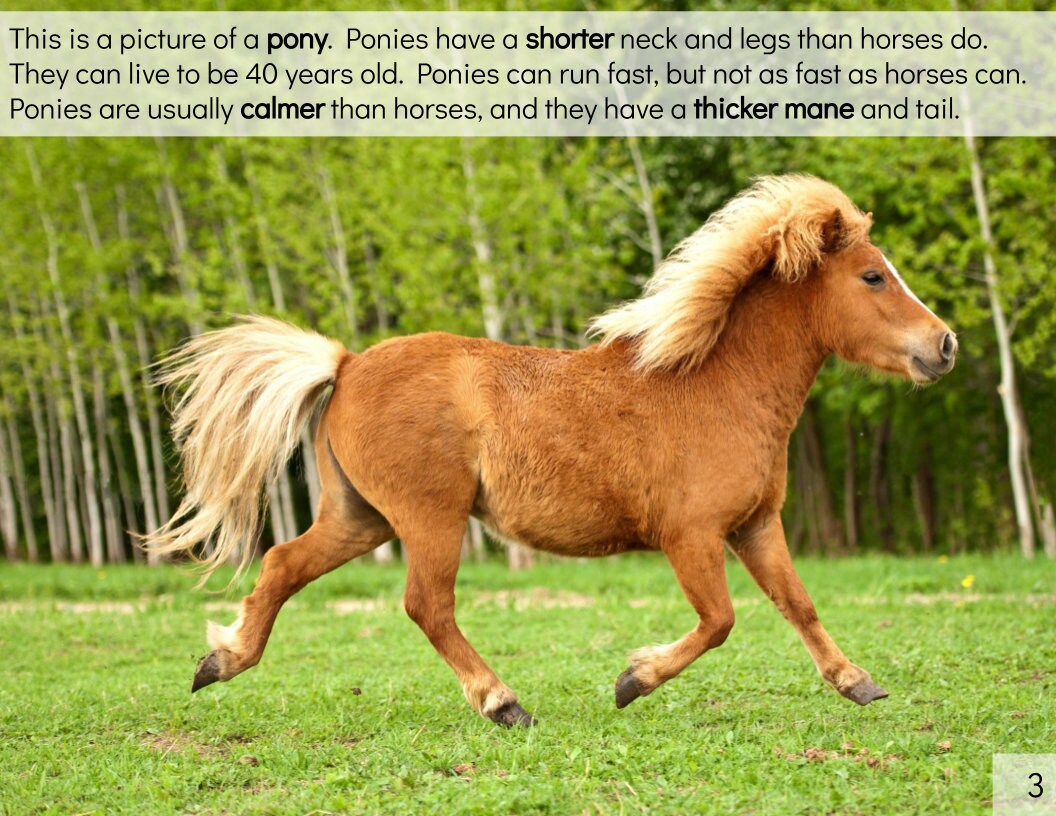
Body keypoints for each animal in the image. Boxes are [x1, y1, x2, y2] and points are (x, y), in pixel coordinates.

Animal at [144, 174, 957, 727]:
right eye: (872, 276)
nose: (944, 345)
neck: (717, 385)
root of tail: (344, 364)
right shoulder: (691, 535)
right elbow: (720, 621)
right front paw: (632, 679)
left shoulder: (756, 526)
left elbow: (798, 603)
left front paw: (858, 681)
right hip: (430, 519)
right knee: (426, 605)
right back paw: (503, 703)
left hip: (360, 518)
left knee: (283, 564)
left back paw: (219, 661)